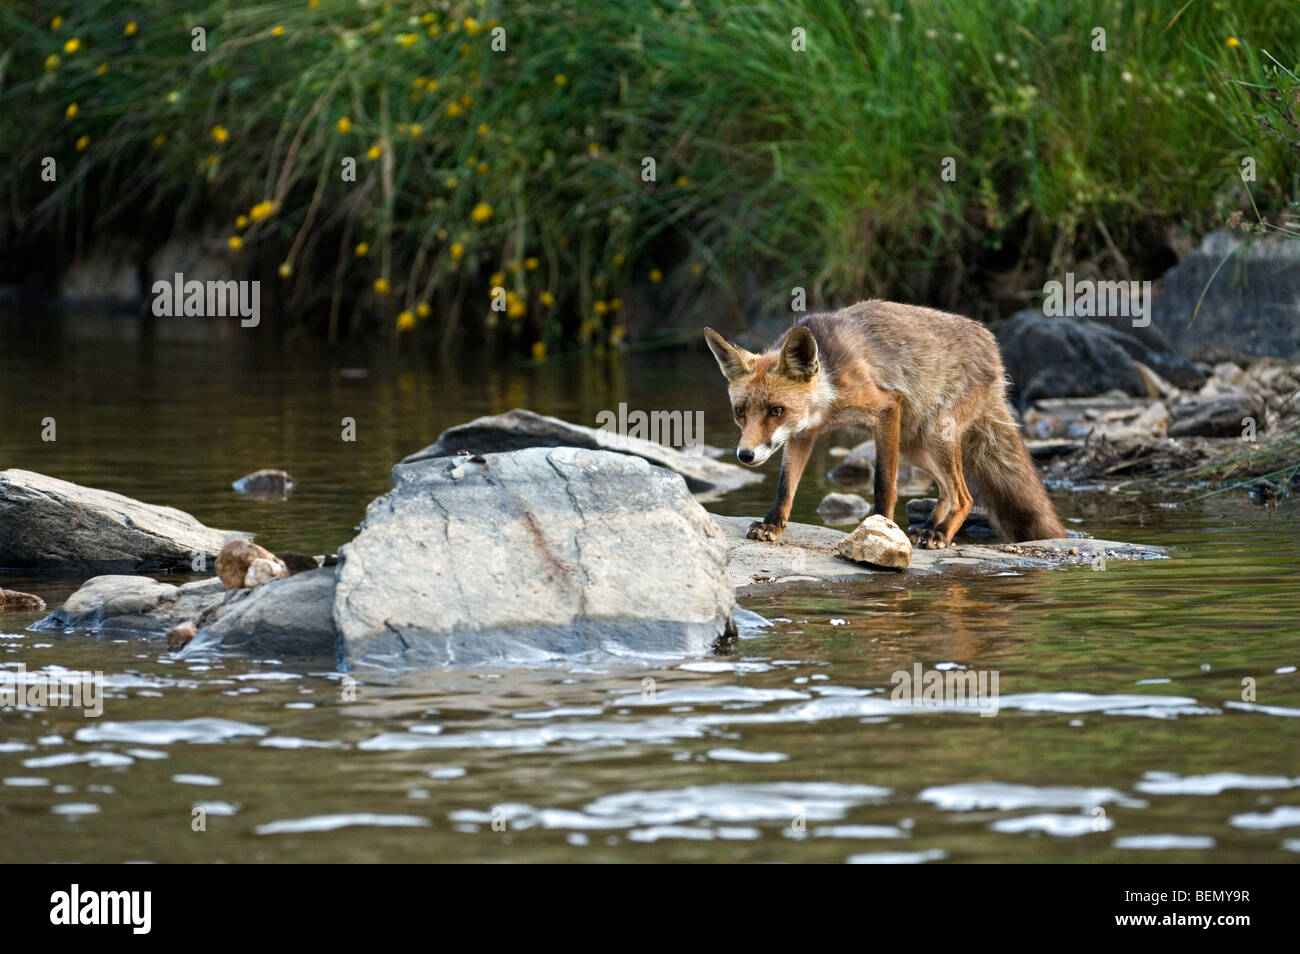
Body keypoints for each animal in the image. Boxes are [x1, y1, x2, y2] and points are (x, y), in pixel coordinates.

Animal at [704, 300, 1065, 549]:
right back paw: (930, 527)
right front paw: (773, 525)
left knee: (964, 496)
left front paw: (880, 529)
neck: (828, 393)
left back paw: (940, 533)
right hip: (915, 445)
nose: (745, 455)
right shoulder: (802, 435)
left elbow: (883, 485)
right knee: (947, 491)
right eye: (740, 412)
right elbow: (784, 487)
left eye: (776, 410)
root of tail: (991, 342)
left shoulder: (887, 409)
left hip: (935, 433)